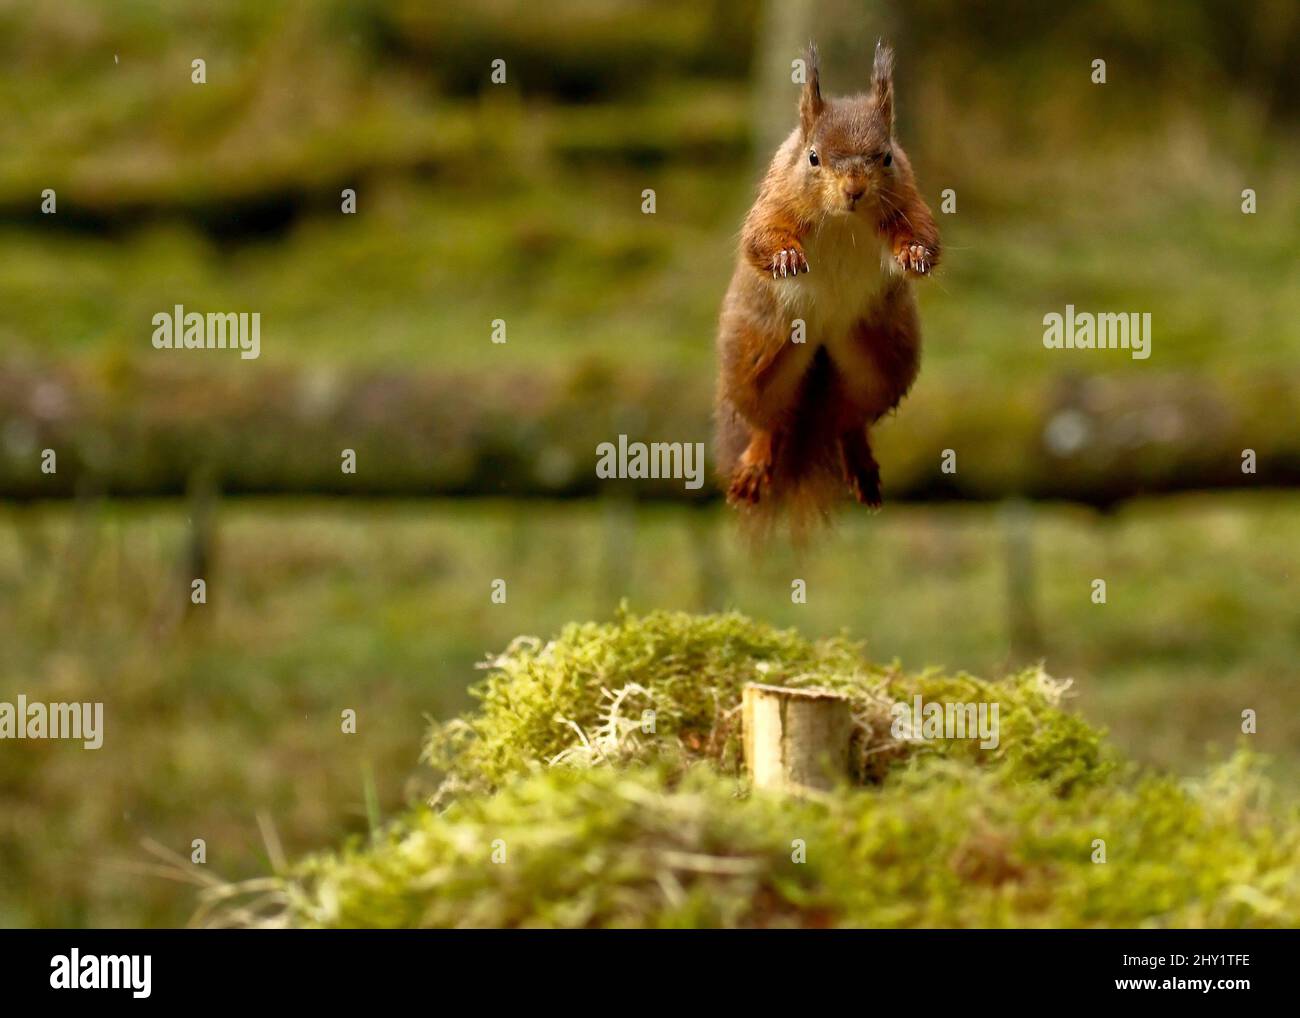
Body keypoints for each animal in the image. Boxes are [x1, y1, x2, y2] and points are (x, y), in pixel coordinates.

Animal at [715, 41, 939, 526]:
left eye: (887, 156)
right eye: (813, 157)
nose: (854, 191)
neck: (843, 220)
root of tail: (820, 339)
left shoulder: (909, 198)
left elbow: (923, 234)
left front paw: (914, 255)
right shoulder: (777, 198)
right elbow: (760, 237)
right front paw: (785, 256)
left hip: (883, 357)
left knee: (851, 418)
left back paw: (860, 463)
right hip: (757, 352)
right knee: (768, 421)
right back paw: (756, 462)